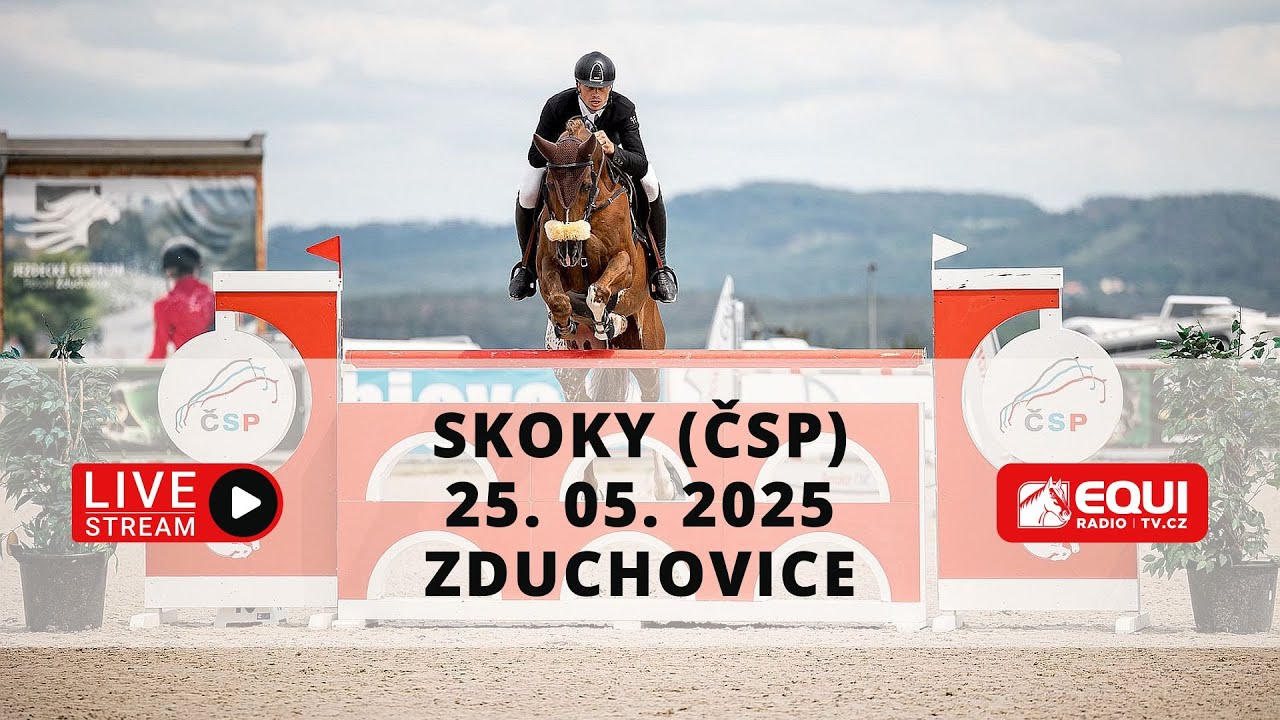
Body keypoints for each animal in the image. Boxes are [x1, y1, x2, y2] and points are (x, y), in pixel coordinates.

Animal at [531, 116, 665, 402]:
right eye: (549, 185)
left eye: (585, 185)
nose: (568, 249)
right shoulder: (548, 263)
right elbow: (558, 298)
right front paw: (565, 324)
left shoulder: (625, 263)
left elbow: (598, 290)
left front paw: (606, 321)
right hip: (569, 375)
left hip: (648, 353)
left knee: (649, 392)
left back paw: (615, 322)